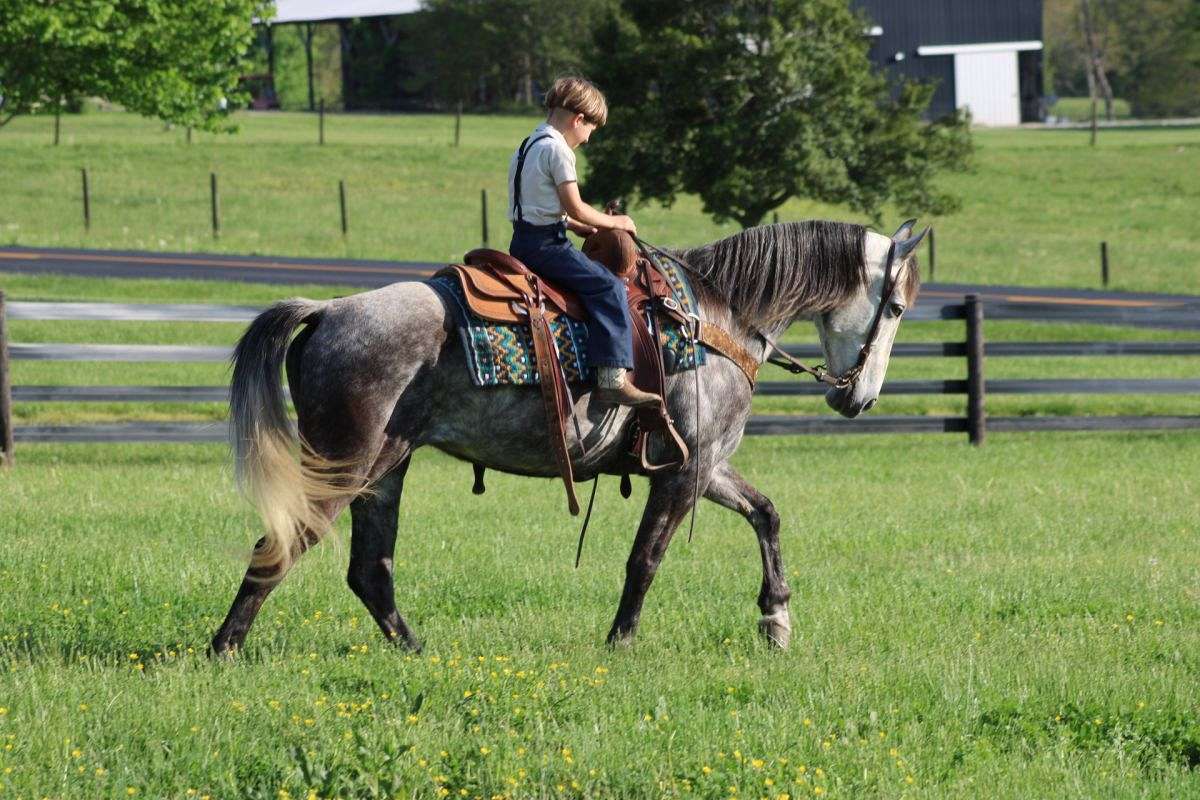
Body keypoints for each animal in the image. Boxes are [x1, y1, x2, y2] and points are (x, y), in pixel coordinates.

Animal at [210, 219, 926, 655]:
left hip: (385, 471)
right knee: (279, 547)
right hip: (344, 466)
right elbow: (646, 559)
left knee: (369, 571)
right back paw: (225, 649)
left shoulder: (703, 465)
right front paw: (621, 642)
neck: (714, 320)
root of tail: (330, 310)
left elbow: (766, 514)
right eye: (893, 307)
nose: (859, 398)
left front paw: (775, 618)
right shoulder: (686, 470)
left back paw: (415, 650)